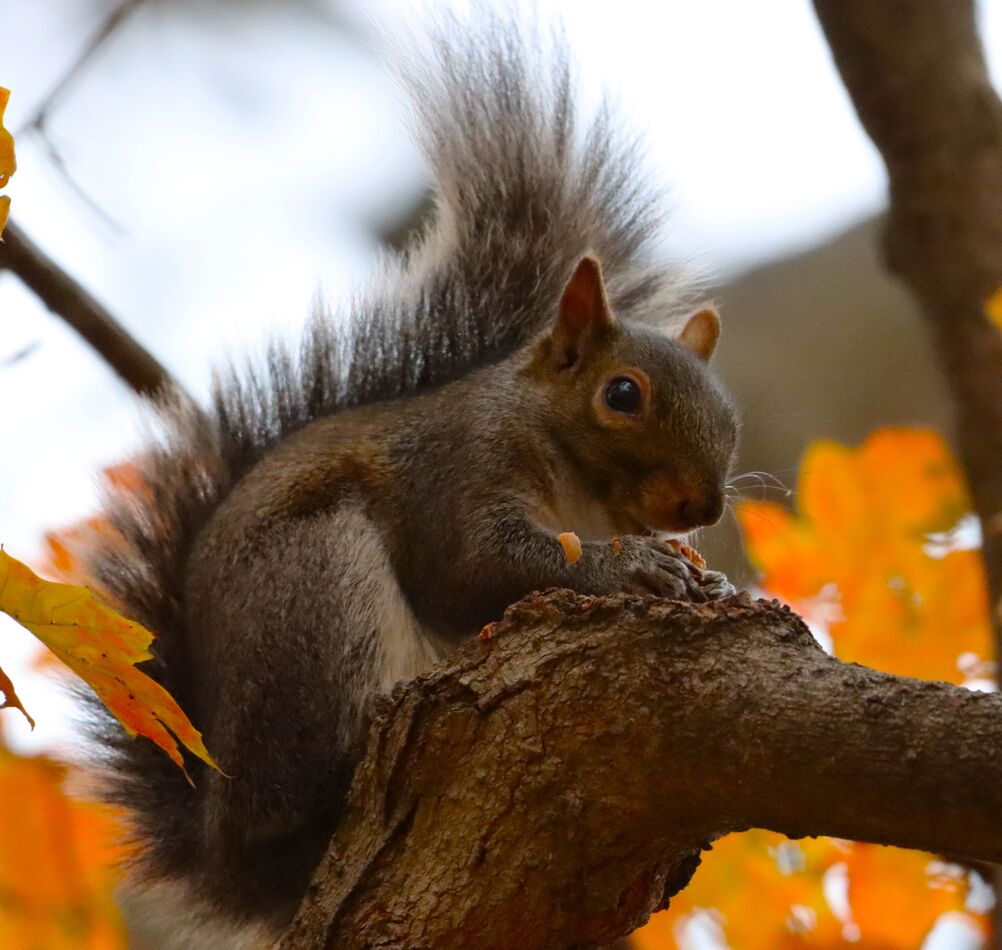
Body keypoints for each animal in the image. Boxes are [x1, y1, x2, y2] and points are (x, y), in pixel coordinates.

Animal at [81, 10, 738, 948]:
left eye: (727, 410)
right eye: (622, 395)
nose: (703, 505)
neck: (581, 489)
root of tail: (224, 854)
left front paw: (703, 576)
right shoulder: (455, 471)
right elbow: (472, 568)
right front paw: (630, 570)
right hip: (316, 589)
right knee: (299, 786)